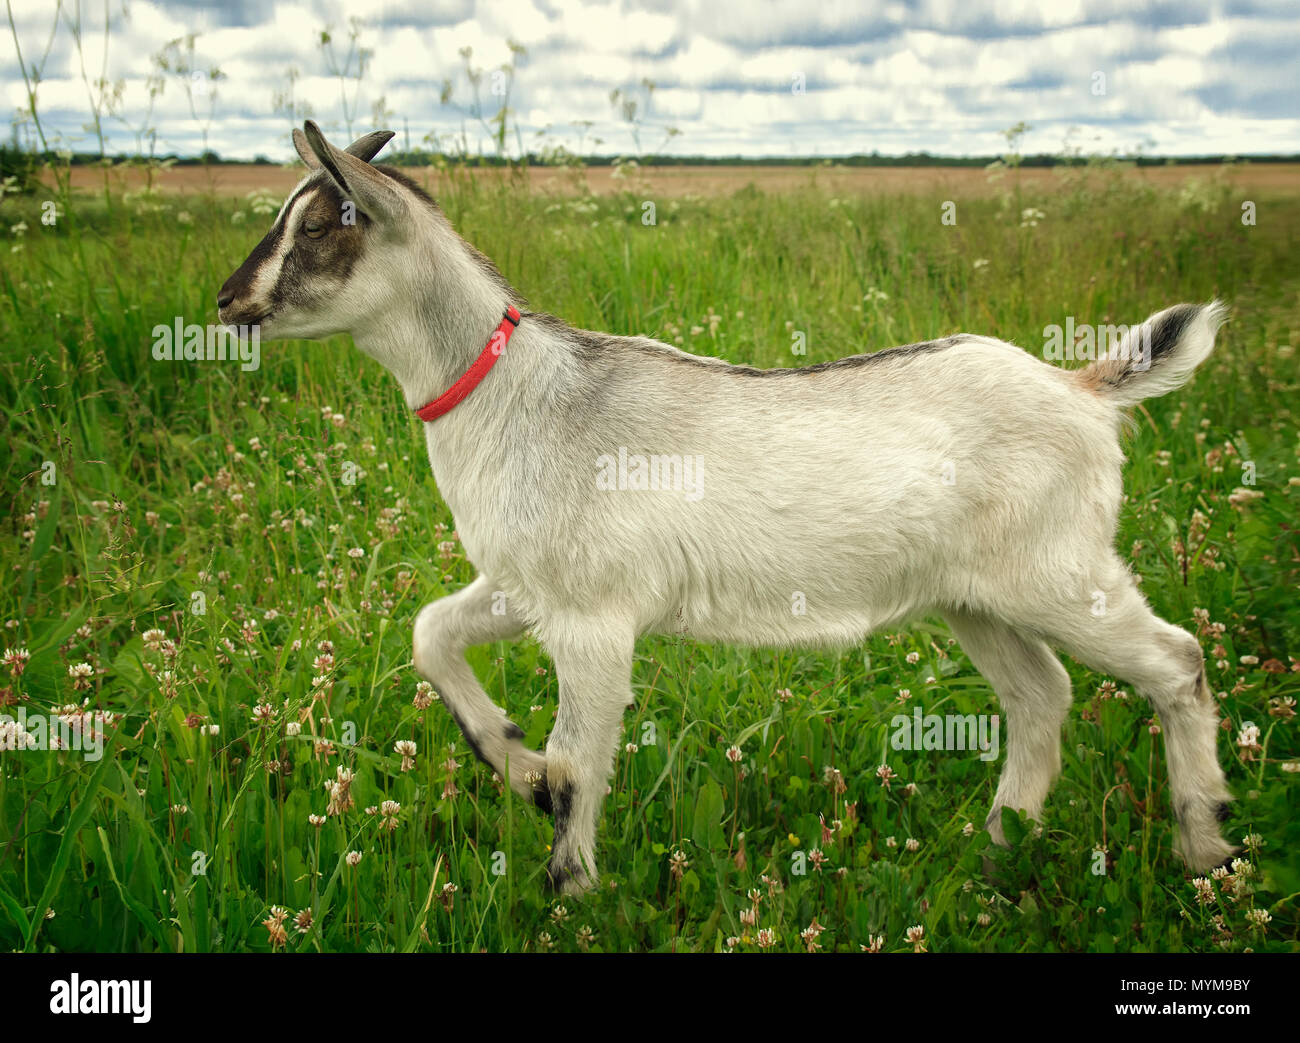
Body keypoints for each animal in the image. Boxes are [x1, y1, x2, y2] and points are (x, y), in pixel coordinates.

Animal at [218, 121, 1234, 894]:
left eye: (323, 226)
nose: (228, 300)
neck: (517, 393)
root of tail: (1082, 391)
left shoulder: (594, 617)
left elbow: (583, 755)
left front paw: (568, 889)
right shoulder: (524, 584)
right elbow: (432, 633)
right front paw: (519, 767)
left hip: (1060, 572)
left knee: (1177, 660)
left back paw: (1208, 844)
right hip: (974, 597)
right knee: (1041, 694)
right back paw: (997, 852)